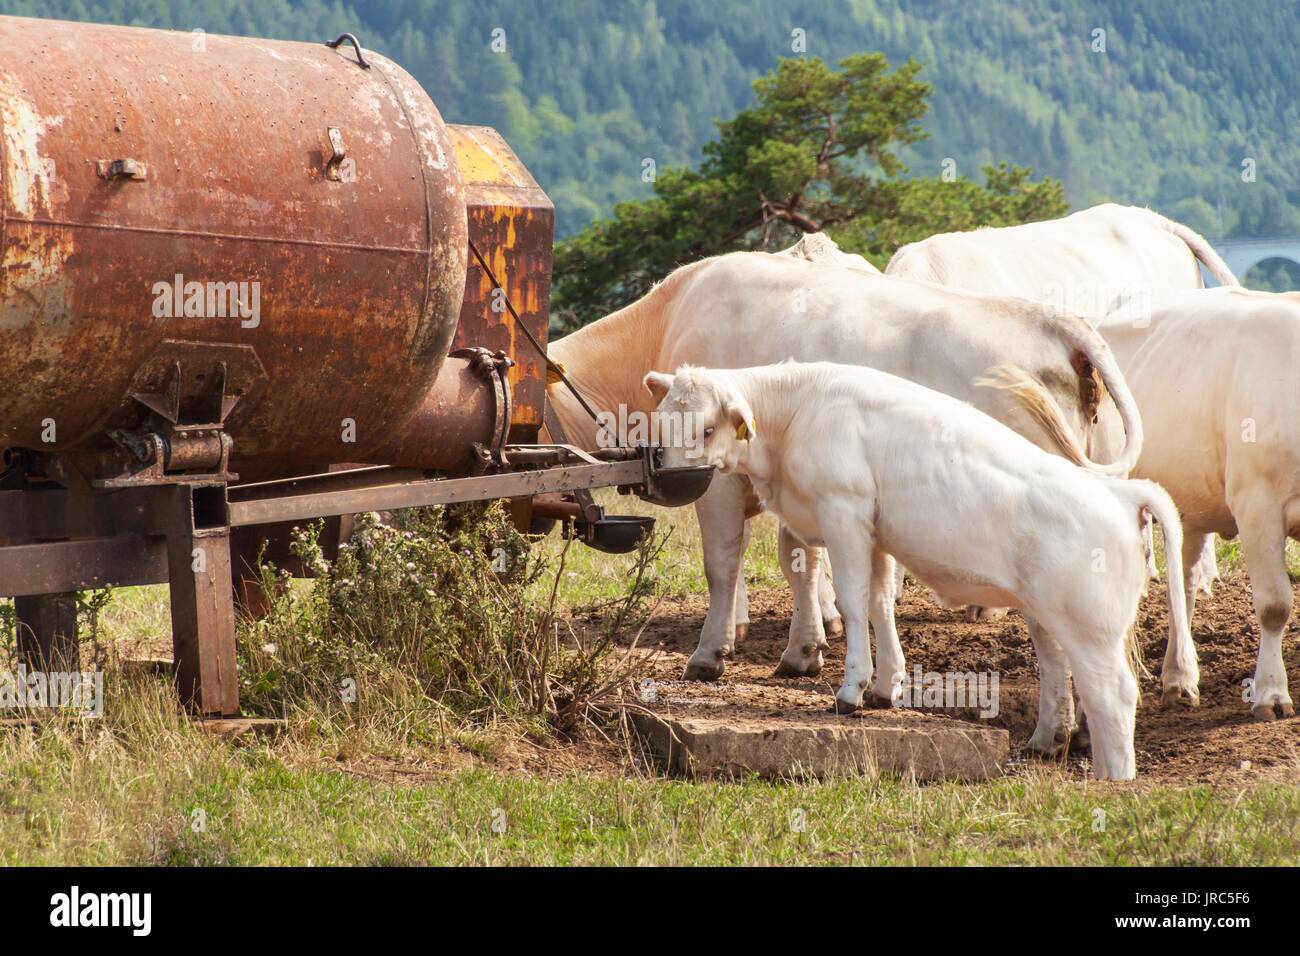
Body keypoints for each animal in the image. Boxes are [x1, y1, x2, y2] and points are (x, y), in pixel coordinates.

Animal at [644, 361, 1195, 780]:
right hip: (1053, 617)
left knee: (1115, 698)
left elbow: (851, 599)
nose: (669, 481)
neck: (799, 410)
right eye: (662, 426)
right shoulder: (875, 531)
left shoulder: (844, 512)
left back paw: (1116, 782)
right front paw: (887, 685)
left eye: (706, 429)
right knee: (1065, 674)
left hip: (1092, 630)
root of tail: (1122, 491)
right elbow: (879, 601)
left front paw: (853, 689)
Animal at [1096, 288, 1300, 721]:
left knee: (1184, 582)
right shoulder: (1257, 502)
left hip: (1188, 504)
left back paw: (1178, 678)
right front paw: (1271, 694)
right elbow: (1274, 604)